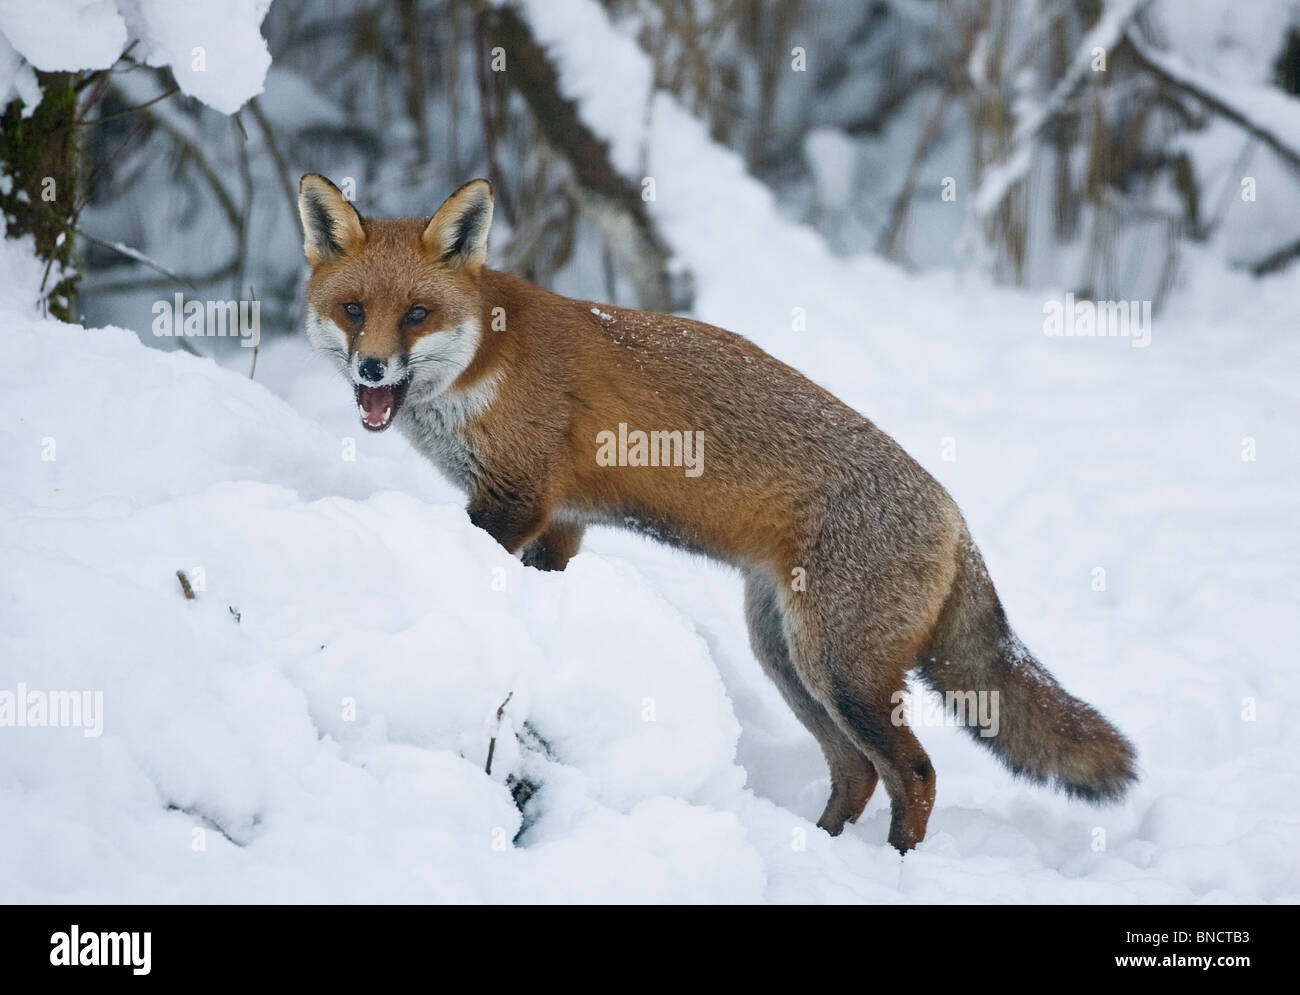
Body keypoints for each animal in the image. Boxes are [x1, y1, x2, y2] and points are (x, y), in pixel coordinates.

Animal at [297, 173, 1138, 853]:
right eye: (353, 309)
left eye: (415, 314)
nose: (372, 368)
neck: (484, 365)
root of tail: (956, 516)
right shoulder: (563, 521)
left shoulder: (517, 499)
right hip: (787, 658)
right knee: (856, 772)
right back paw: (820, 848)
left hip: (840, 670)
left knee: (916, 772)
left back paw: (896, 867)